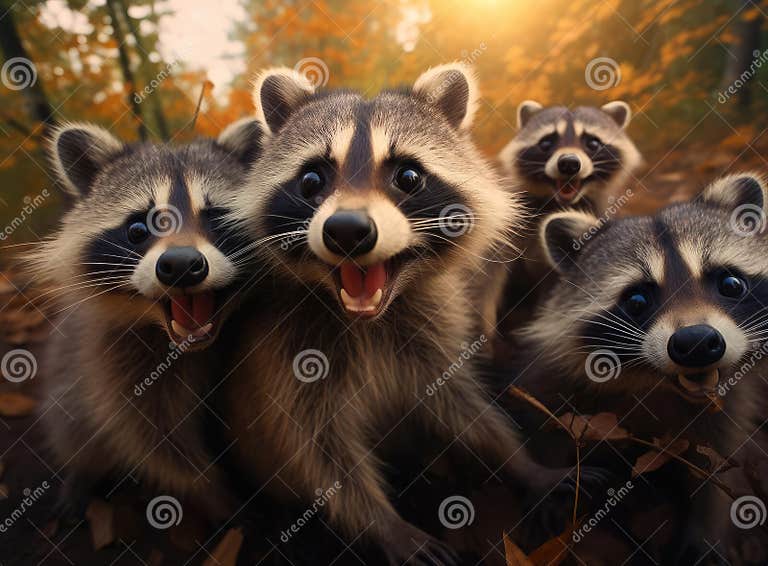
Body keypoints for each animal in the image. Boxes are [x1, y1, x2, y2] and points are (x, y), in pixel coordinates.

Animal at [28, 119, 261, 518]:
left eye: (220, 218)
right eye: (138, 229)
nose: (181, 265)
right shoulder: (114, 359)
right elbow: (157, 442)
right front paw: (219, 499)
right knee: (73, 429)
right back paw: (81, 476)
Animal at [221, 64, 598, 564]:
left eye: (408, 176)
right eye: (311, 180)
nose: (347, 231)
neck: (367, 320)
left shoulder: (429, 330)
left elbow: (461, 405)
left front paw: (522, 463)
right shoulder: (287, 355)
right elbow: (317, 450)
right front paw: (386, 525)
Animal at [516, 173, 768, 563]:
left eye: (731, 284)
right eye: (636, 300)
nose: (696, 342)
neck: (652, 383)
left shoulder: (727, 408)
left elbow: (715, 468)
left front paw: (705, 532)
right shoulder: (549, 376)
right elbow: (541, 424)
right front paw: (550, 482)